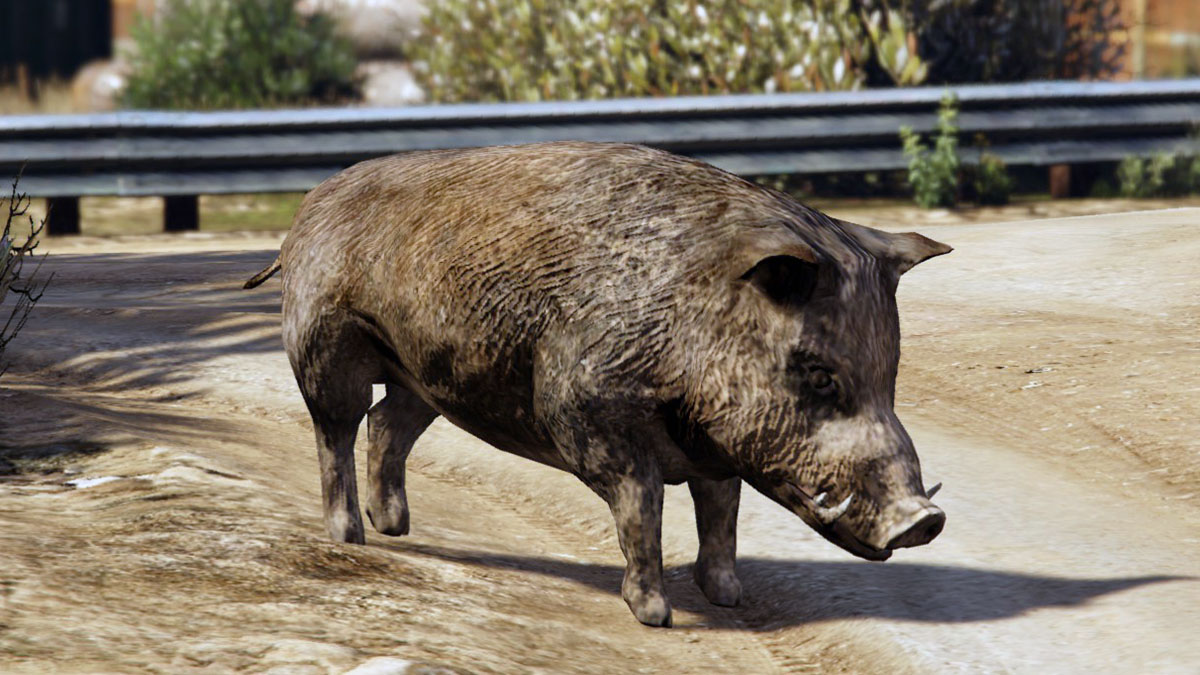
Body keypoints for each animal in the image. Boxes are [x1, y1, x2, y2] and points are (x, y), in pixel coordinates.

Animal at [245, 141, 951, 627]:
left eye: (889, 373)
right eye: (818, 373)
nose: (924, 520)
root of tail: (307, 207)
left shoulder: (717, 451)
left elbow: (721, 513)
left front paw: (729, 598)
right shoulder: (585, 408)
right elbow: (642, 507)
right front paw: (657, 617)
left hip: (424, 376)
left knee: (389, 423)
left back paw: (395, 527)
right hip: (323, 344)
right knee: (335, 428)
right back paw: (352, 537)